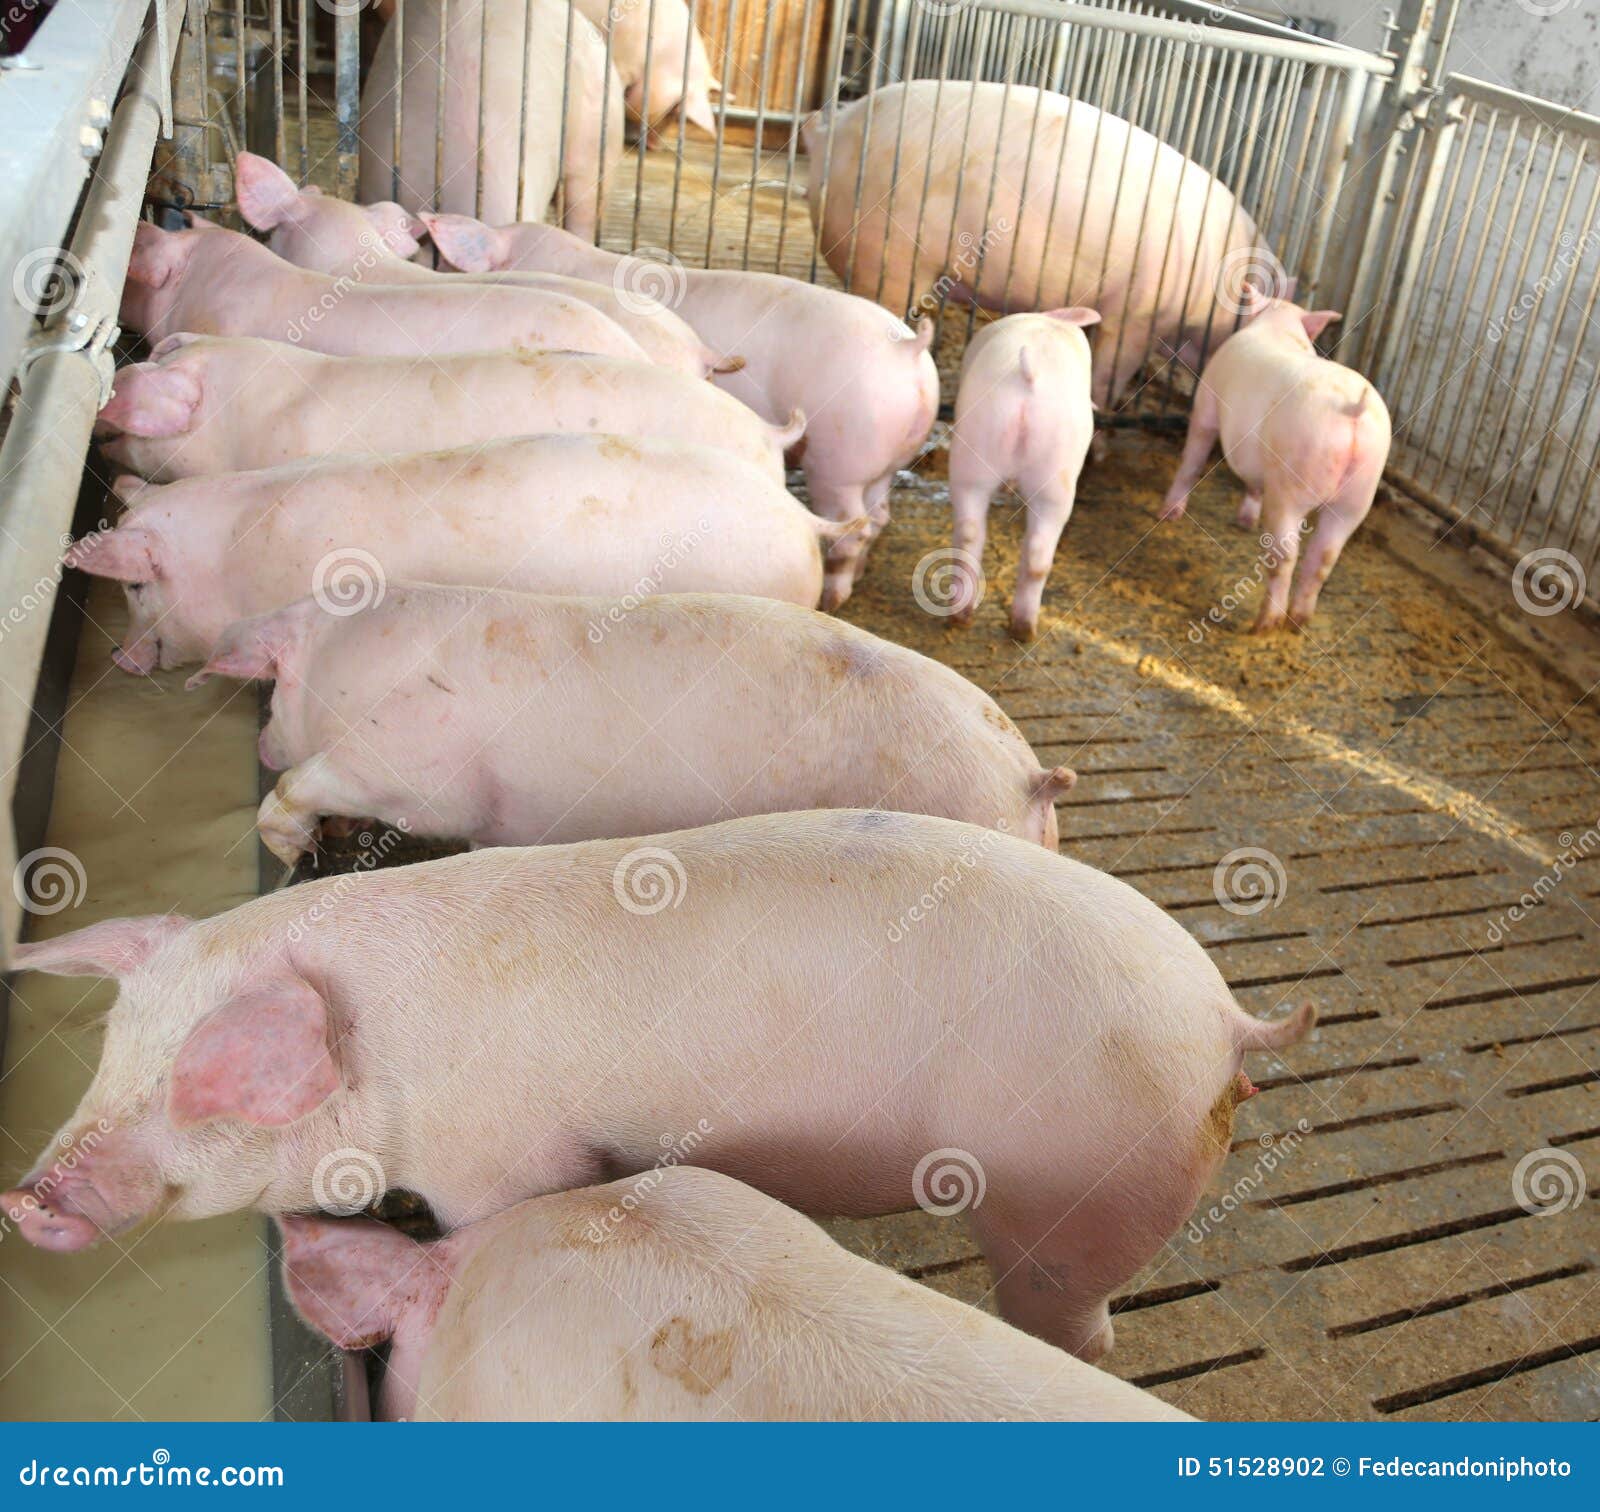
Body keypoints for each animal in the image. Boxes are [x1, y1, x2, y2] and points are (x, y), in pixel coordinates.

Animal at [2, 808, 1315, 1361]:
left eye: (200, 1090)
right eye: (110, 1054)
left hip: (1076, 1203)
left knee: (1085, 1326)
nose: (24, 1195)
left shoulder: (507, 1160)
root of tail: (1225, 1022)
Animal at [188, 584, 1075, 863]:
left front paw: (293, 847)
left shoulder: (407, 763)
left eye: (272, 691)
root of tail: (1031, 780)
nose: (262, 734)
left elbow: (304, 784)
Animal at [421, 213, 942, 609]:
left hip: (839, 461)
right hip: (883, 463)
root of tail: (908, 351)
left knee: (853, 526)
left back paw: (834, 599)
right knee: (878, 518)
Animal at [1160, 289, 1391, 631]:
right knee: (1324, 557)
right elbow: (1253, 484)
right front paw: (1246, 521)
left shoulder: (1207, 404)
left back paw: (1265, 624)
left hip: (1291, 486)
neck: (1278, 327)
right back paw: (1299, 620)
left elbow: (1193, 461)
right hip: (1359, 493)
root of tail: (1350, 409)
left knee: (1285, 556)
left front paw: (1168, 515)